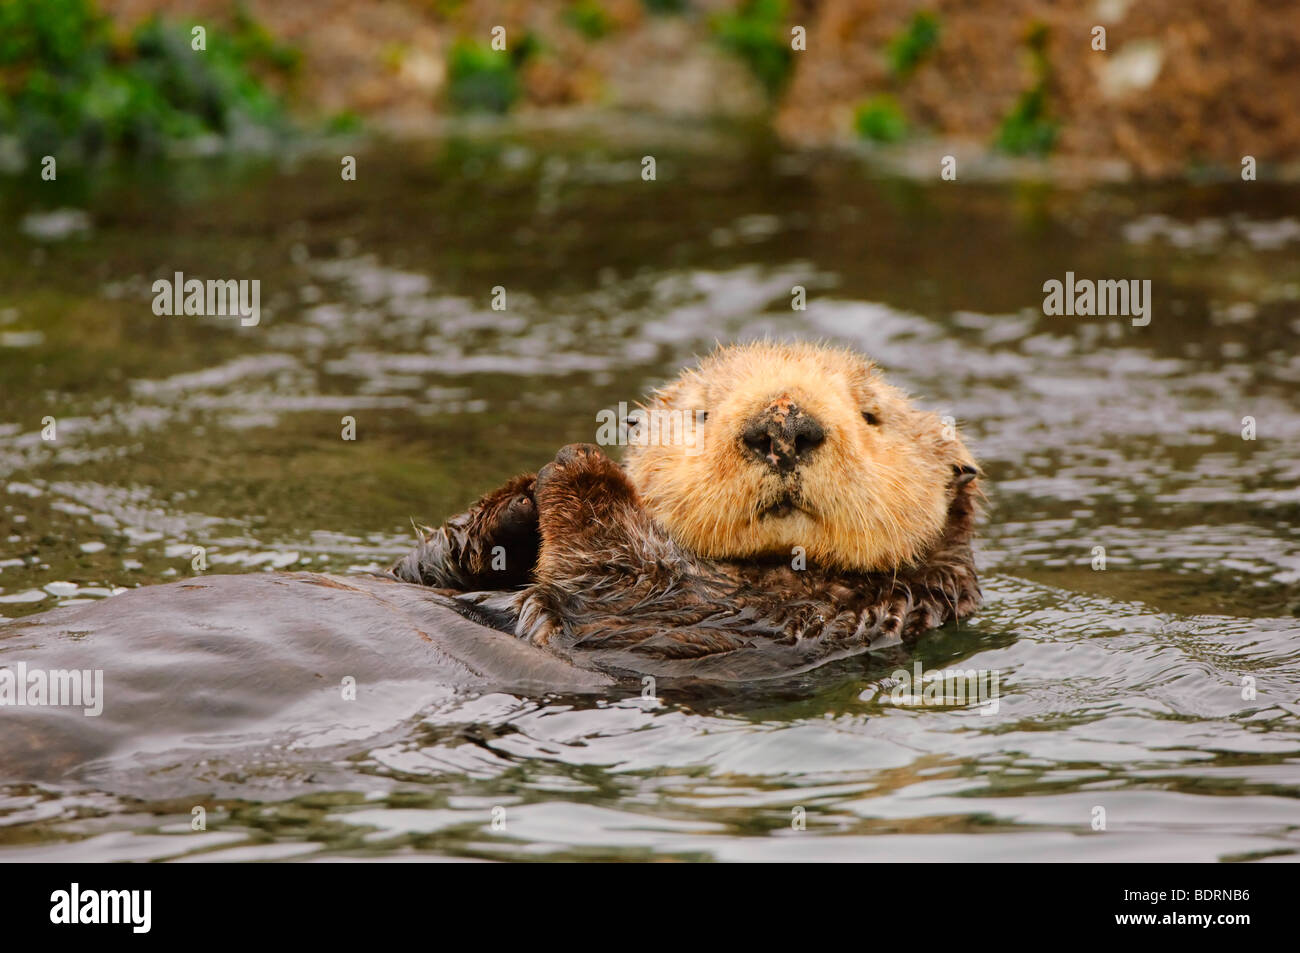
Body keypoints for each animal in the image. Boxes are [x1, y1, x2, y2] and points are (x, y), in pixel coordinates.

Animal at [392, 341, 982, 680]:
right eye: (702, 413)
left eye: (871, 415)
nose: (784, 427)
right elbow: (416, 571)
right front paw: (514, 508)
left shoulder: (753, 624)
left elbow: (619, 584)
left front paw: (578, 467)